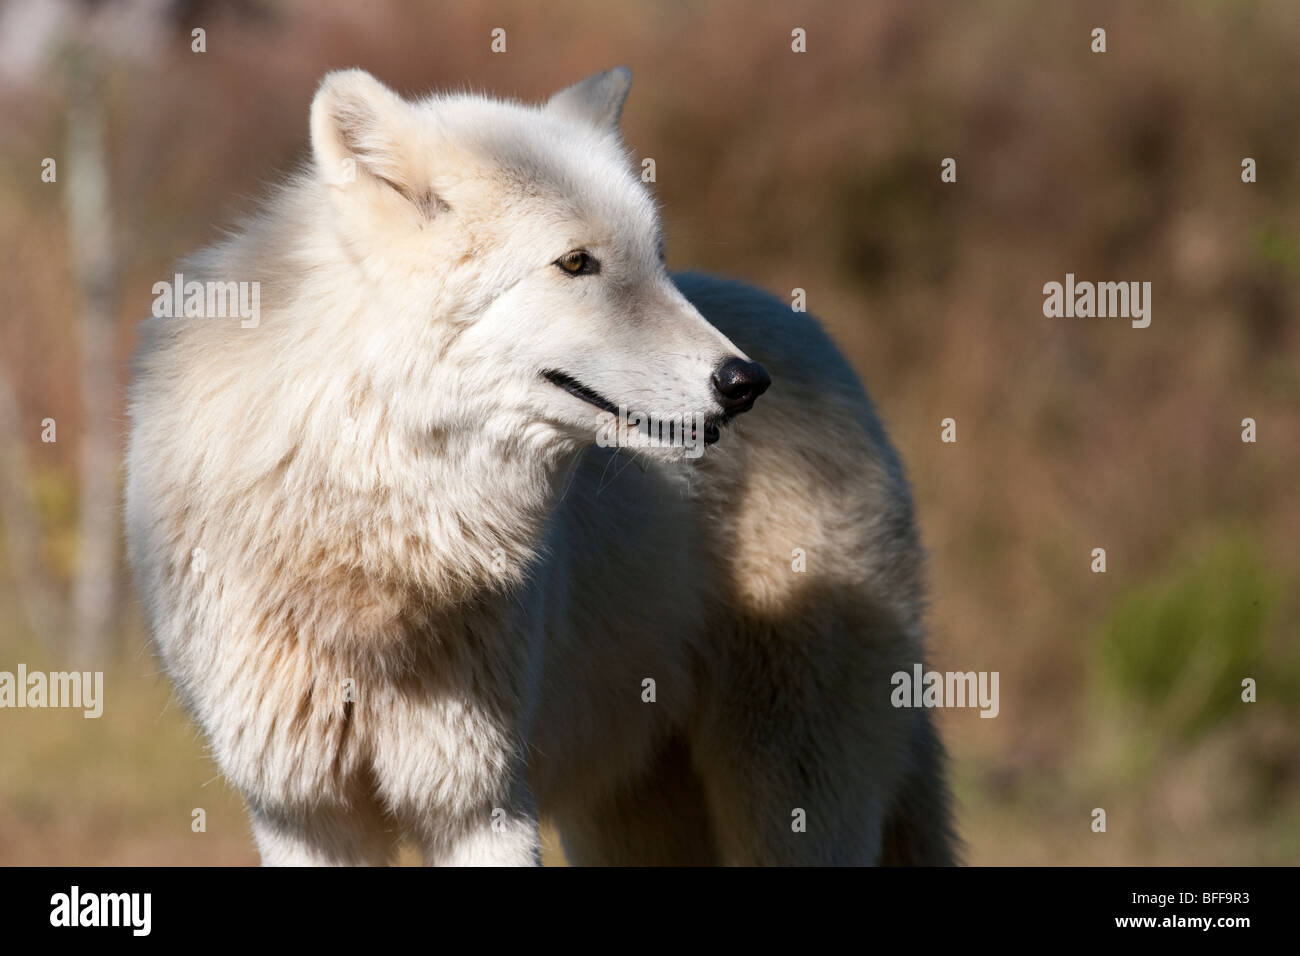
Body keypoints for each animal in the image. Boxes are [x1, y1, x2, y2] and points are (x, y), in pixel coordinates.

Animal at [125, 67, 956, 865]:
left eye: (657, 263)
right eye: (576, 263)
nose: (744, 382)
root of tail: (819, 343)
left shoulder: (479, 804)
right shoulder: (302, 814)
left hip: (790, 796)